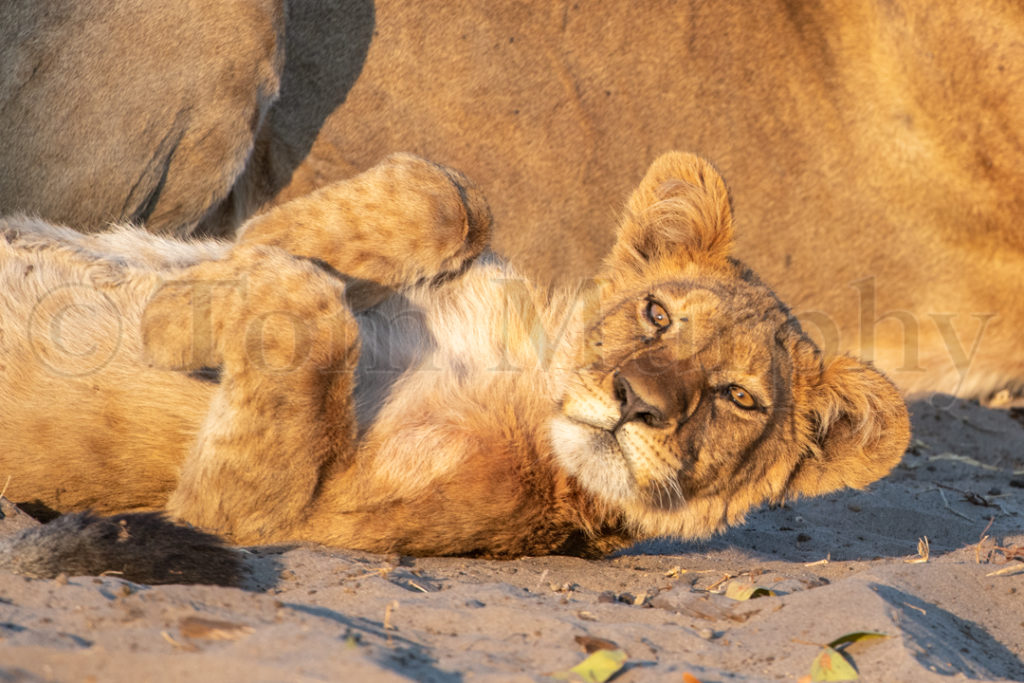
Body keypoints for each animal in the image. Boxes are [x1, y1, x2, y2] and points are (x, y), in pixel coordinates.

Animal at [0, 153, 910, 583]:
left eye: (738, 397)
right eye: (658, 314)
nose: (635, 401)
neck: (529, 371)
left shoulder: (263, 519)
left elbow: (317, 314)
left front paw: (170, 313)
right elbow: (447, 196)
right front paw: (226, 257)